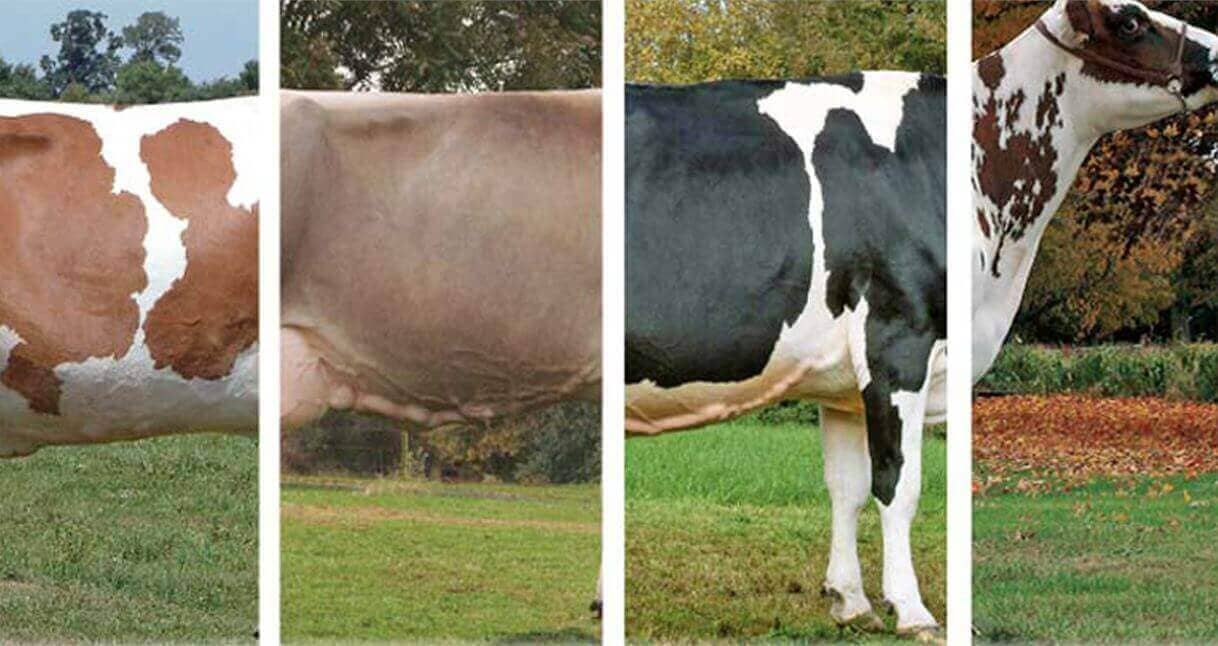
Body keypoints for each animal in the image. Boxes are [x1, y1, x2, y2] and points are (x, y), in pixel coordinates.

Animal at [625, 73, 945, 636]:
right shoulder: (899, 336)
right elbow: (898, 484)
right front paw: (911, 610)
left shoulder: (845, 386)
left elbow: (847, 486)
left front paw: (850, 601)